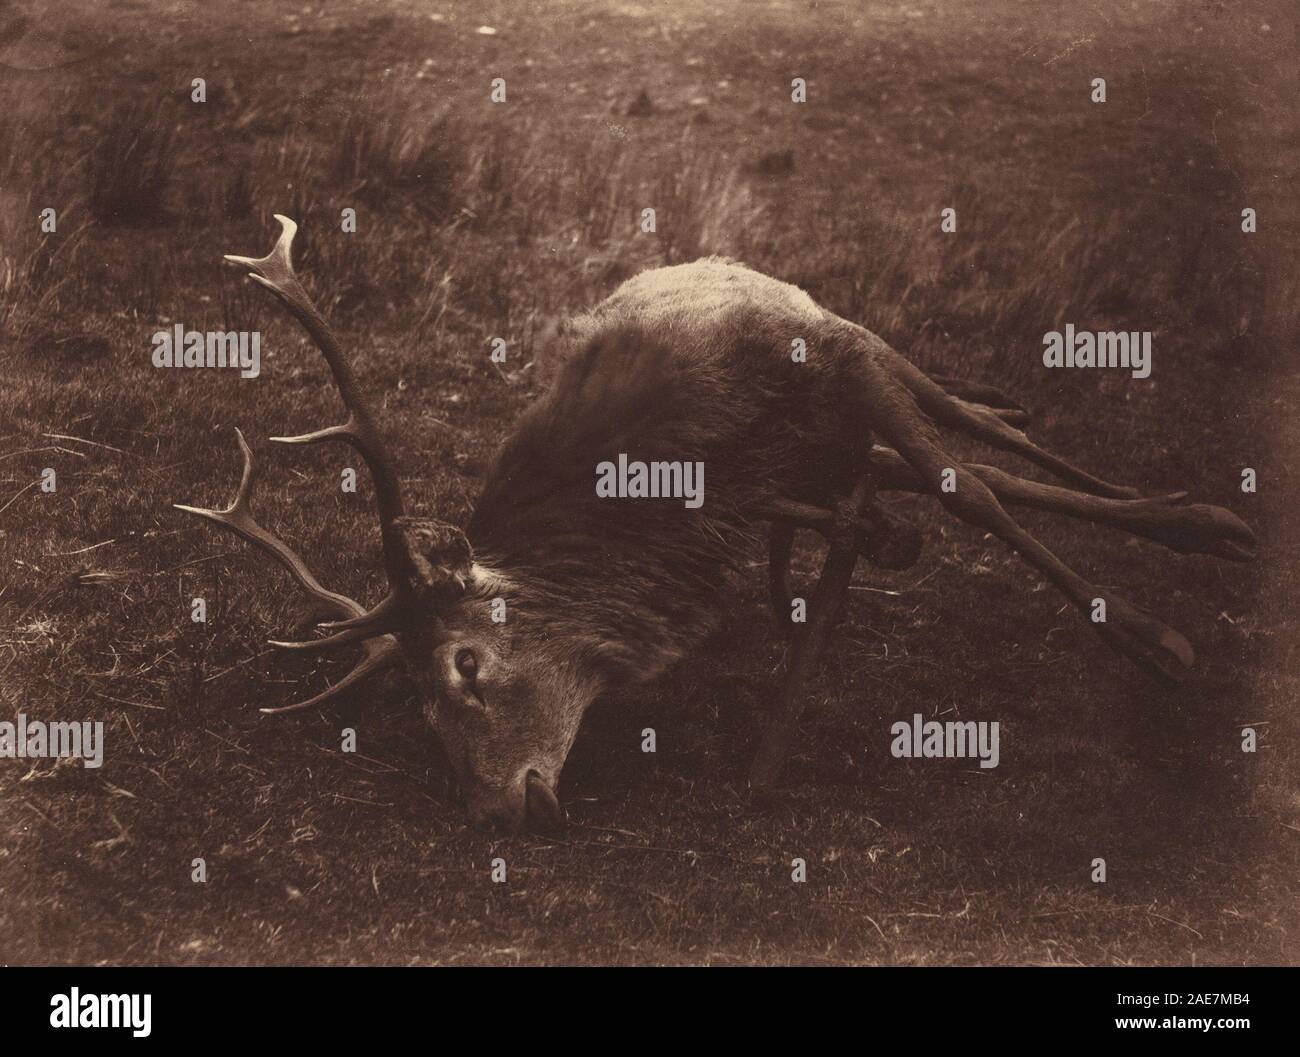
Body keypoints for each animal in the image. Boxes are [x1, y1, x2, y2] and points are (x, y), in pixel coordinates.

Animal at [177, 215, 1257, 831]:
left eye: (464, 665)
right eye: (418, 704)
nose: (492, 812)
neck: (683, 452)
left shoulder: (840, 356)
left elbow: (972, 489)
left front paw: (1155, 638)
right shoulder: (760, 488)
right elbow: (936, 494)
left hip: (864, 357)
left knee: (978, 432)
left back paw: (1192, 516)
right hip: (828, 447)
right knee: (934, 464)